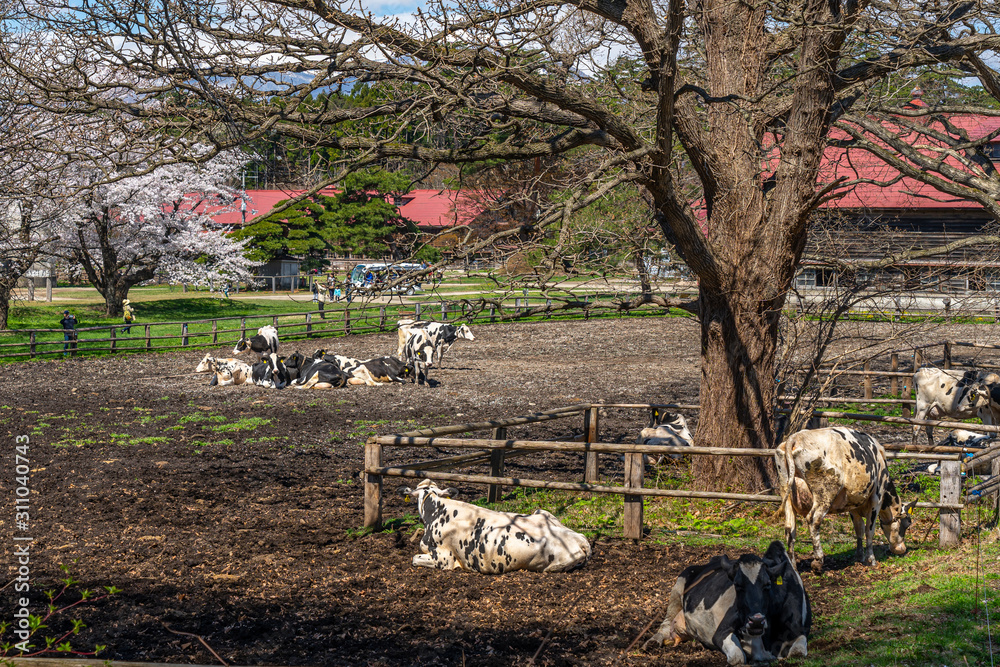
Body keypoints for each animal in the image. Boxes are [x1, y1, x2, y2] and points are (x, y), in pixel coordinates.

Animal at [775, 427, 915, 572]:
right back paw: (818, 561)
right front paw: (871, 559)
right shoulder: (876, 499)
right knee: (813, 520)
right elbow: (869, 531)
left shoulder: (853, 504)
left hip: (786, 492)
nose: (901, 549)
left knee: (789, 528)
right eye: (907, 523)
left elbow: (859, 529)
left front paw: (859, 556)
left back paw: (793, 567)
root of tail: (796, 437)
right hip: (825, 493)